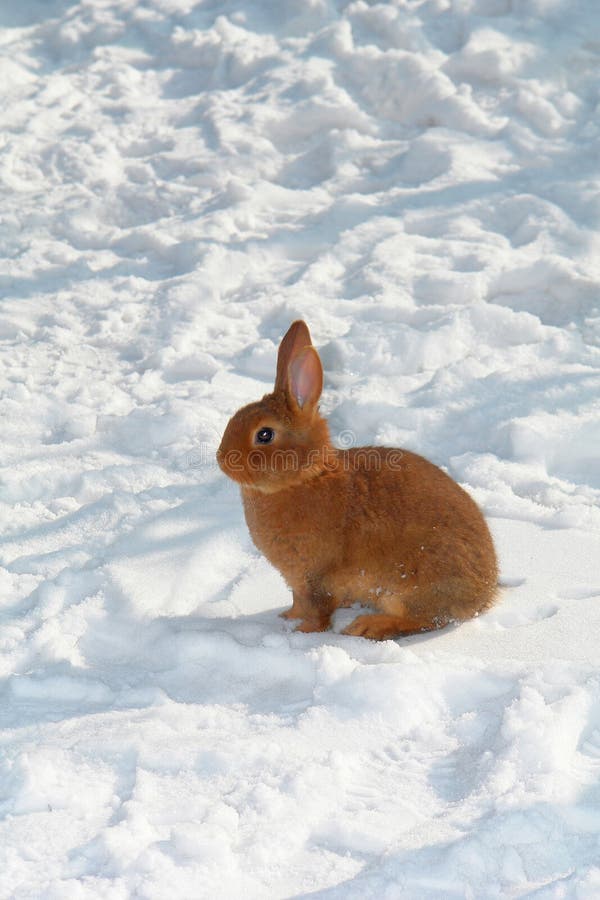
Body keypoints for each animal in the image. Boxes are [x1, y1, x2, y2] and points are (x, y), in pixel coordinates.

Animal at [217, 320, 498, 640]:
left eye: (264, 434)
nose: (221, 458)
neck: (303, 478)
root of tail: (485, 594)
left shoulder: (316, 578)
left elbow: (318, 610)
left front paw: (301, 632)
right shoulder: (299, 583)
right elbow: (298, 602)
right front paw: (286, 618)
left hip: (411, 585)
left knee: (421, 619)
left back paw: (368, 625)